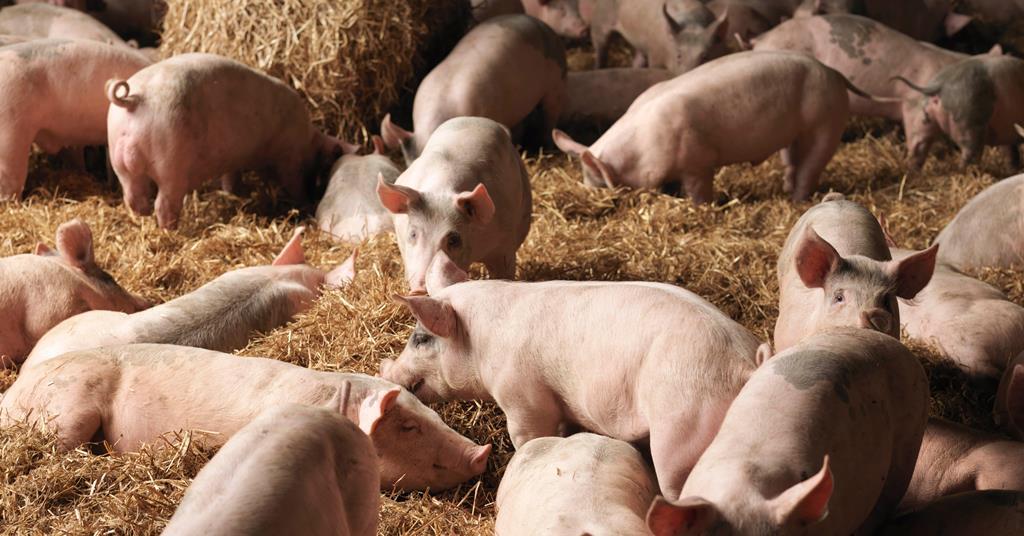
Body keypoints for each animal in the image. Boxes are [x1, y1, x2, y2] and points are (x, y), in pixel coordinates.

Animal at [106, 53, 350, 229]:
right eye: (321, 165)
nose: (315, 192)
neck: (308, 140)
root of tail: (134, 100)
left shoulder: (235, 160)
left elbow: (231, 177)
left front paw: (235, 193)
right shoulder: (290, 159)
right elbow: (294, 183)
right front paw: (305, 204)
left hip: (120, 161)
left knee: (133, 196)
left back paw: (144, 216)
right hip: (171, 163)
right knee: (164, 204)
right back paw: (172, 230)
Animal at [380, 252, 762, 499]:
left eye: (420, 338)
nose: (387, 370)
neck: (482, 343)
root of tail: (746, 364)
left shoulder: (524, 397)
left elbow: (529, 436)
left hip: (683, 429)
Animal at [553, 51, 867, 202]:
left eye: (598, 184)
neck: (643, 146)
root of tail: (833, 72)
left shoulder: (698, 161)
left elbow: (699, 190)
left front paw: (701, 206)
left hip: (826, 122)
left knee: (811, 166)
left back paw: (798, 201)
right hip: (795, 134)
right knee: (792, 162)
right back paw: (788, 192)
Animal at [581, 0, 731, 71]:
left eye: (706, 56)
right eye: (679, 55)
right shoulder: (655, 54)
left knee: (638, 59)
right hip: (601, 20)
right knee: (601, 49)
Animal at [893, 55, 1024, 169]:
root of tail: (940, 84)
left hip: (925, 120)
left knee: (919, 145)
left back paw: (913, 171)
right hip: (969, 120)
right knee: (970, 153)